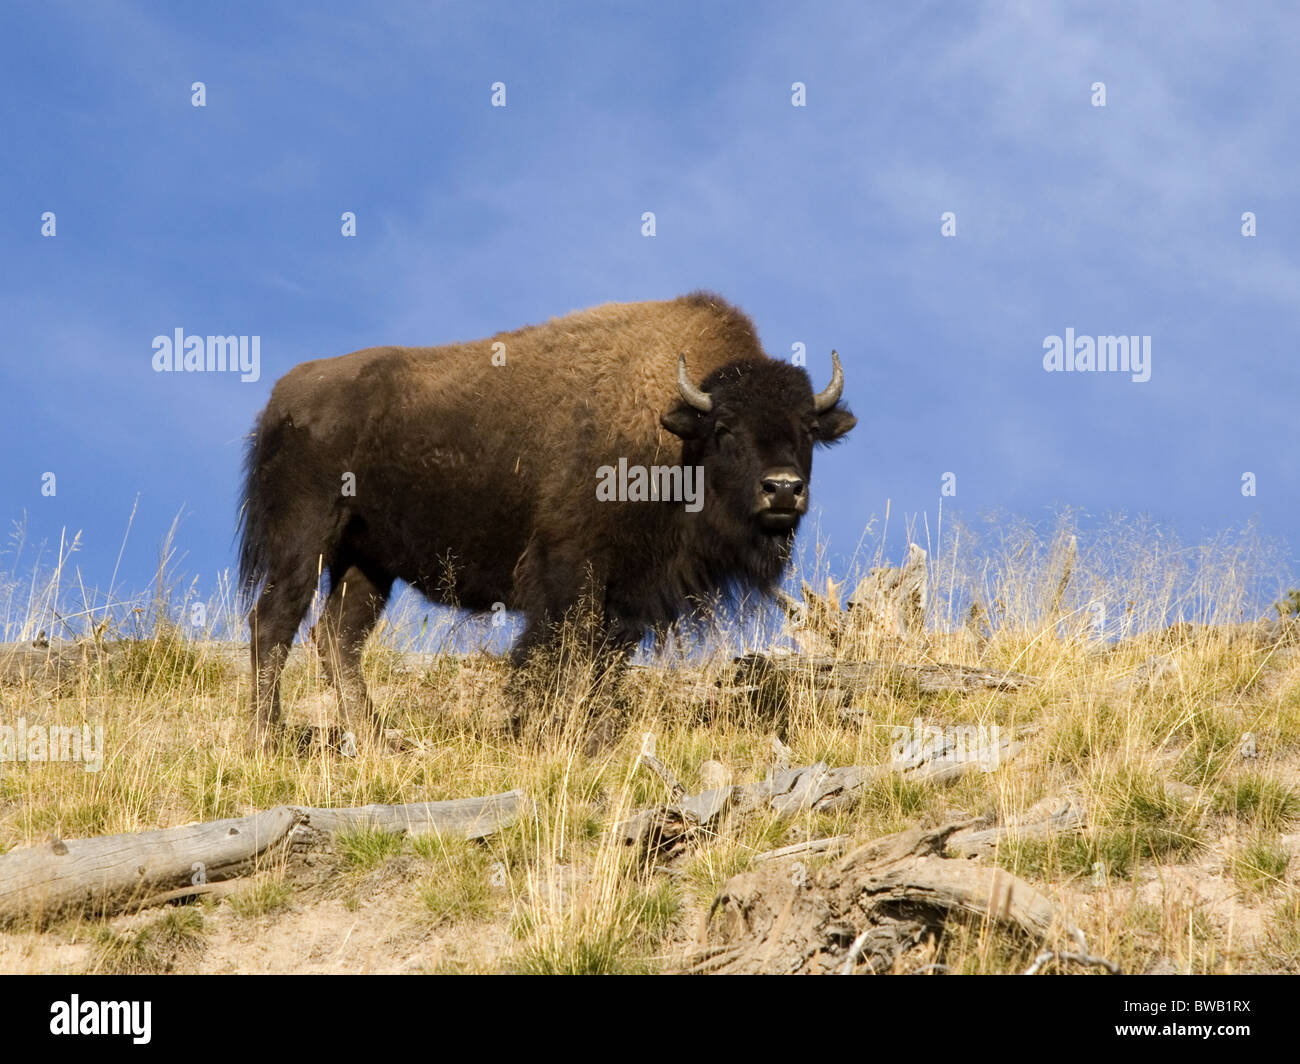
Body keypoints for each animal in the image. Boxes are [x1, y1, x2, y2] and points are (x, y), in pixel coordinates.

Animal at [237, 292, 855, 748]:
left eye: (807, 430)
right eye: (726, 429)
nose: (782, 489)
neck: (675, 433)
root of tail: (281, 401)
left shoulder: (628, 596)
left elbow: (604, 664)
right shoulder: (569, 572)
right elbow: (556, 654)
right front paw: (548, 731)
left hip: (366, 563)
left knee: (336, 636)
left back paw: (373, 739)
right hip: (304, 540)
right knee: (273, 621)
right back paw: (267, 739)